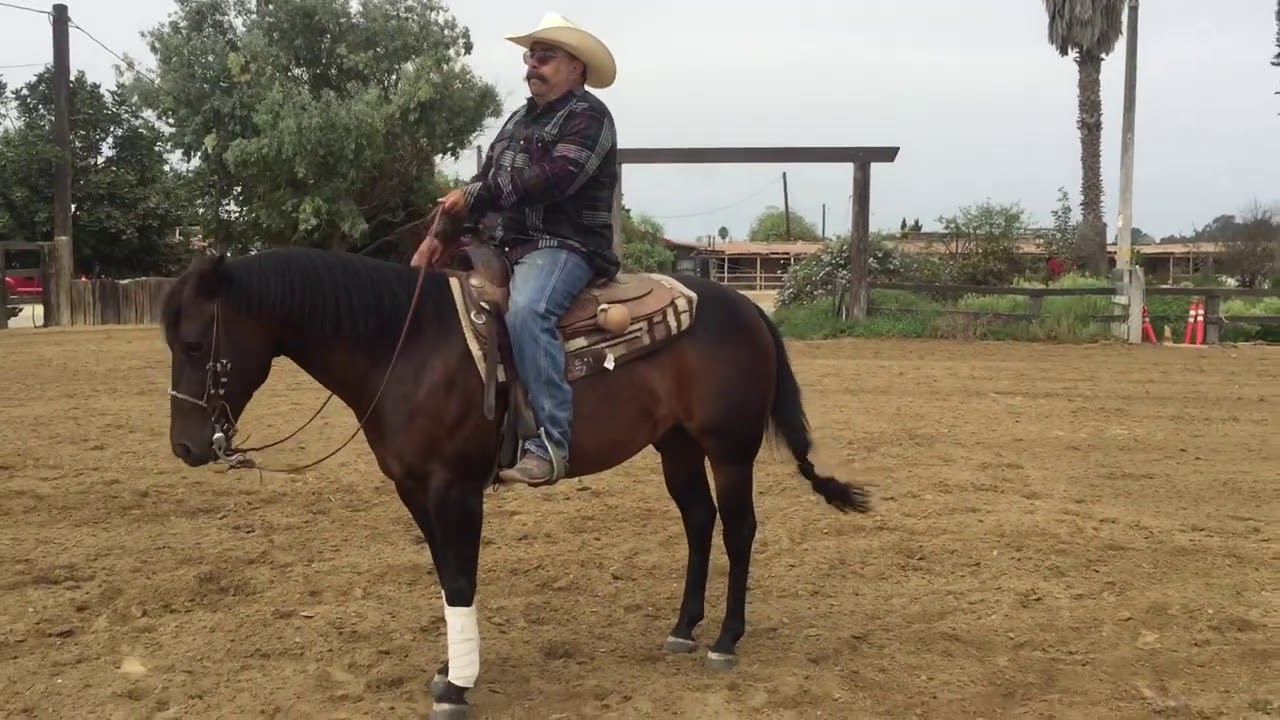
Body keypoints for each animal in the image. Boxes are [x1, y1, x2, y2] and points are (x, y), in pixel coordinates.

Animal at [160, 223, 873, 719]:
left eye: (195, 344)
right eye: (169, 342)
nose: (187, 448)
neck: (406, 347)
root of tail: (751, 311)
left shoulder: (455, 489)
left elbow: (461, 577)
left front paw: (458, 684)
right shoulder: (414, 489)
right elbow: (447, 578)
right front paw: (452, 668)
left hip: (728, 449)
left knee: (738, 530)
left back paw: (725, 640)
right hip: (675, 446)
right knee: (699, 523)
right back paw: (682, 630)